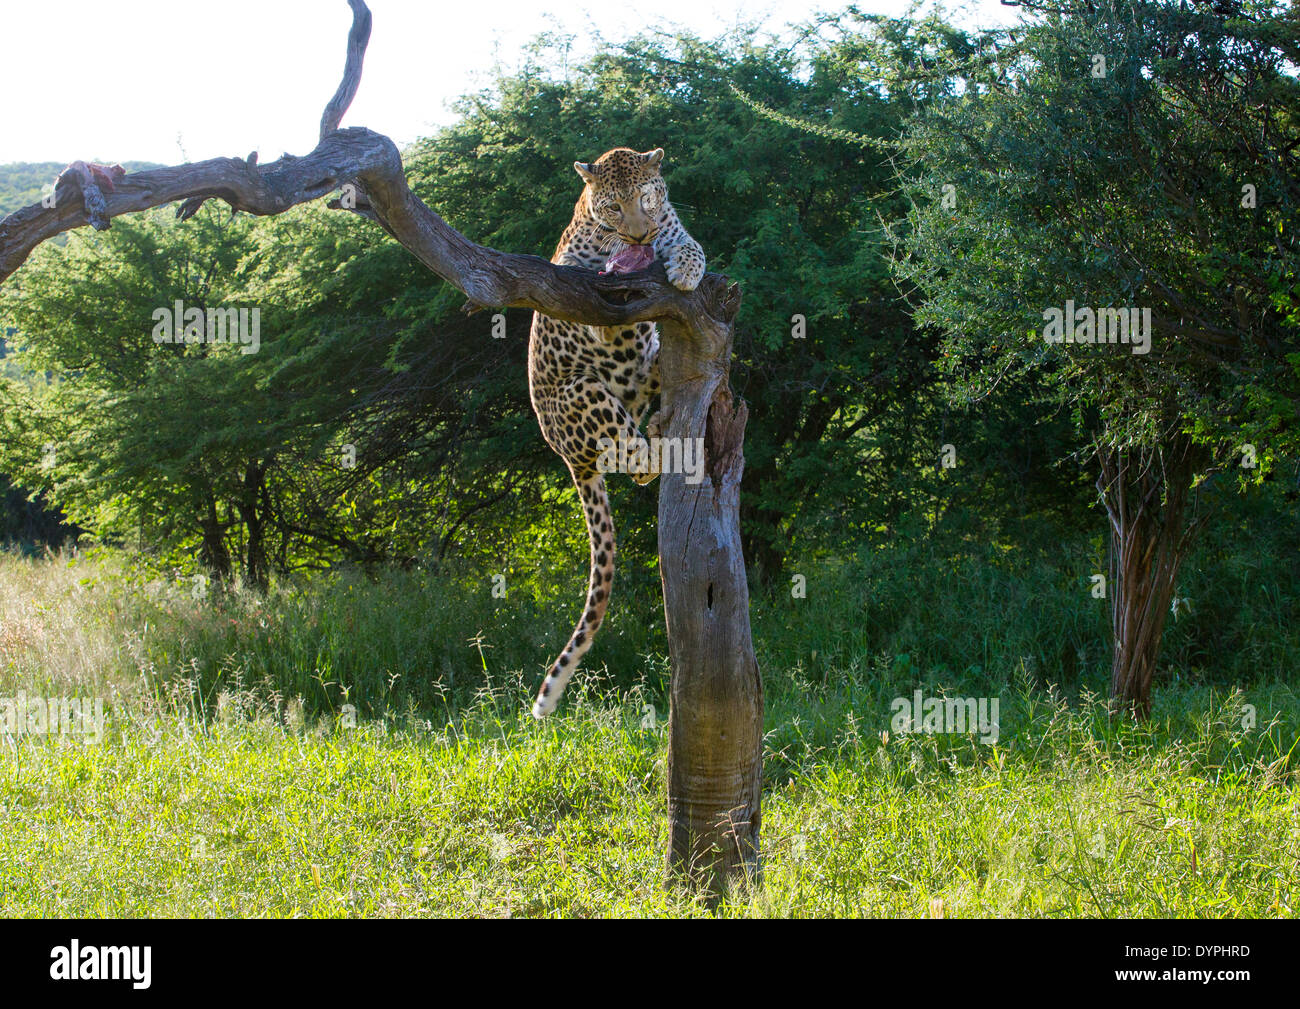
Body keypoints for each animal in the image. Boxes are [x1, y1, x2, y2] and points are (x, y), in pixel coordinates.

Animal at [528, 146, 706, 718]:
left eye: (645, 198)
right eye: (611, 206)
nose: (638, 235)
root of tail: (565, 455)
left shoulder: (672, 227)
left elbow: (691, 245)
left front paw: (687, 271)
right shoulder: (588, 300)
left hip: (641, 378)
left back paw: (660, 416)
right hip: (583, 393)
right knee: (639, 461)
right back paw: (661, 440)